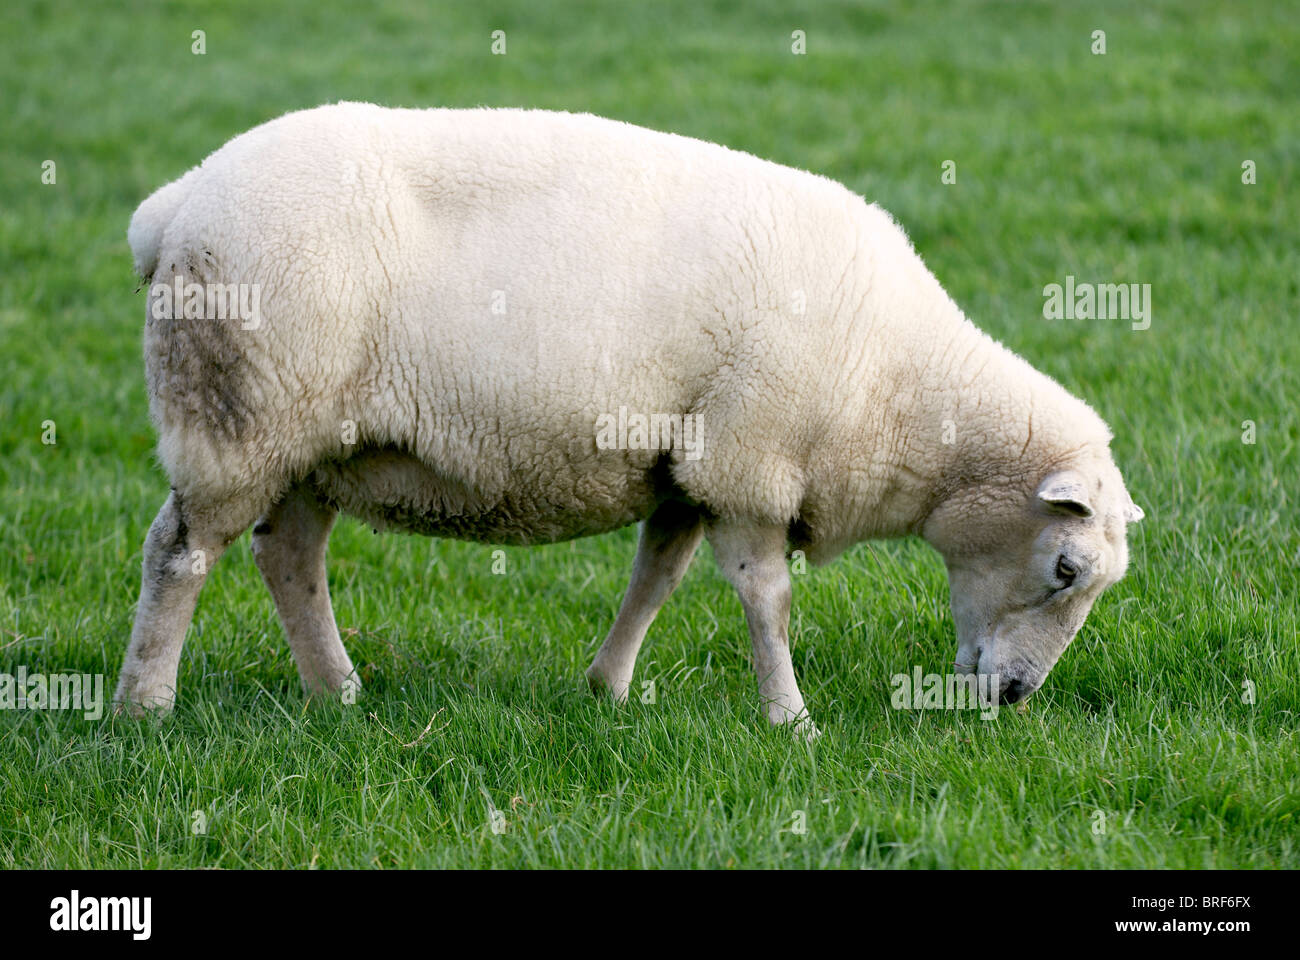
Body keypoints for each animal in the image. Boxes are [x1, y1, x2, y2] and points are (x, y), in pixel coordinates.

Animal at [115, 102, 1144, 733]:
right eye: (1064, 569)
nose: (1012, 698)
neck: (906, 392)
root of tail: (175, 202)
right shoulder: (752, 458)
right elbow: (767, 602)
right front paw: (792, 719)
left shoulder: (690, 463)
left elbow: (656, 578)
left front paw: (607, 688)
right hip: (236, 412)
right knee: (180, 555)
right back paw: (143, 706)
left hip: (311, 437)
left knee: (288, 556)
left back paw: (337, 692)